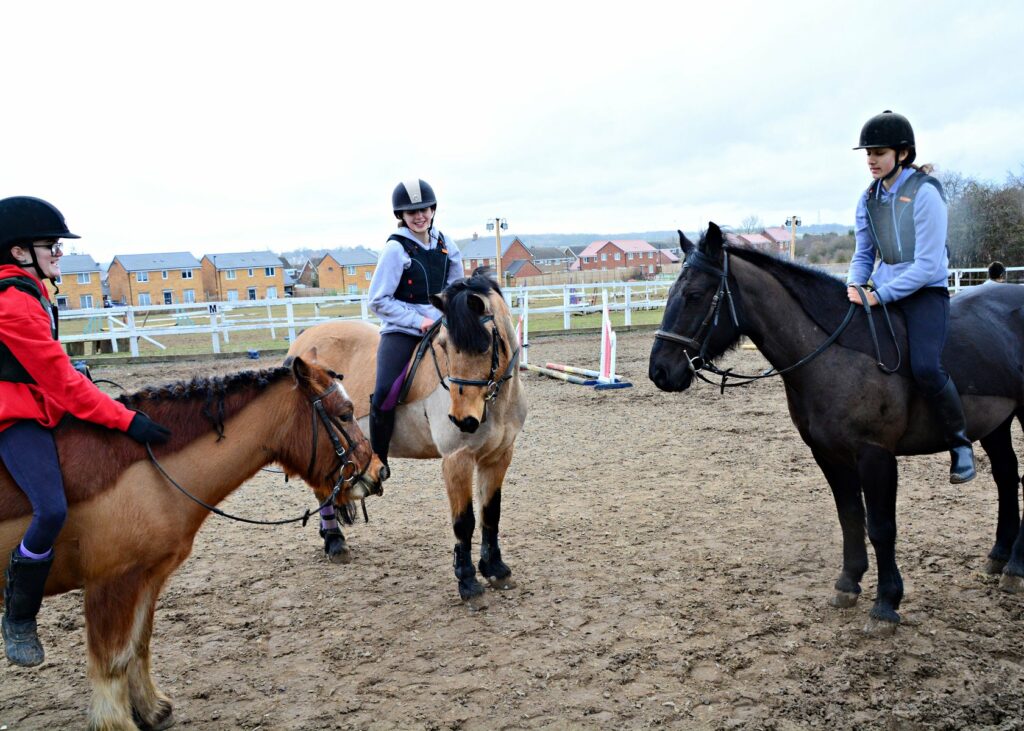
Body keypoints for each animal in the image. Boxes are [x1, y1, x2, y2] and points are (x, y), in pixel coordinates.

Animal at [0, 354, 384, 731]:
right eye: (345, 414)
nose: (379, 471)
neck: (147, 469)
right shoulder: (110, 583)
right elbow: (112, 660)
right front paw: (116, 722)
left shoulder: (147, 577)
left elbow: (138, 644)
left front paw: (152, 710)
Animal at [286, 272, 527, 601]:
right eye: (443, 345)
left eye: (485, 345)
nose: (462, 420)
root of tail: (303, 339)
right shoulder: (457, 460)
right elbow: (464, 522)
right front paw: (467, 581)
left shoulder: (499, 456)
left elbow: (491, 513)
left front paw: (496, 569)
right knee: (321, 491)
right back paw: (335, 542)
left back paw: (330, 536)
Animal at [649, 222, 1024, 636]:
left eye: (695, 295)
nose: (660, 371)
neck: (834, 355)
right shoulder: (829, 455)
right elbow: (850, 516)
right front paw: (848, 583)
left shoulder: (875, 455)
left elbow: (881, 526)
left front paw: (886, 603)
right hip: (996, 424)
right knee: (1007, 477)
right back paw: (1001, 557)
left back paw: (1016, 566)